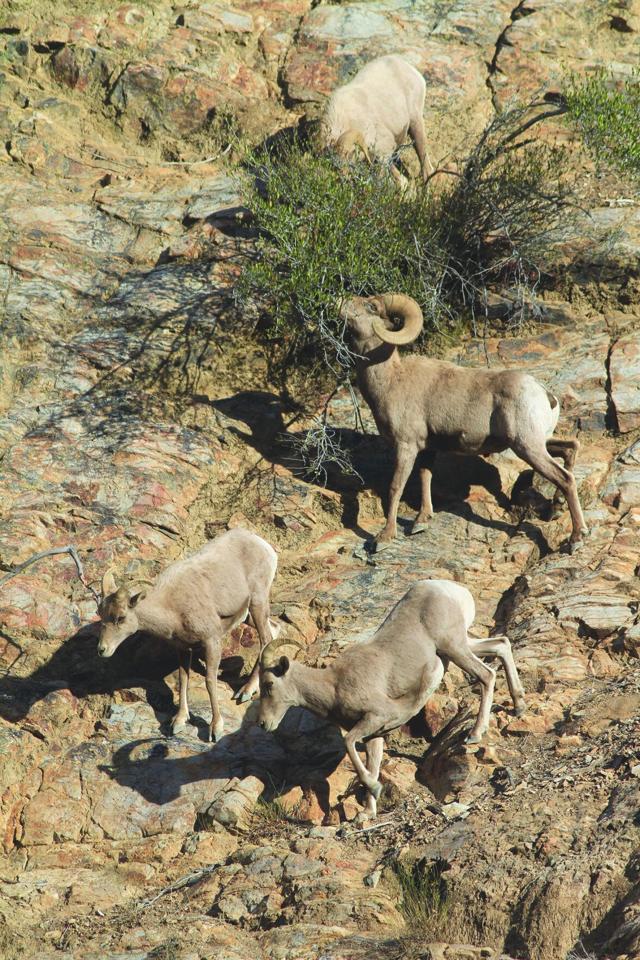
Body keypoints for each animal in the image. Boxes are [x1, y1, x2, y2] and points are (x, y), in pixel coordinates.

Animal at [97, 528, 278, 741]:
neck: (172, 607)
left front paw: (215, 729)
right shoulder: (183, 648)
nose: (102, 650)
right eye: (100, 613)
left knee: (266, 639)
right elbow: (184, 680)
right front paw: (178, 722)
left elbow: (210, 682)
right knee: (275, 630)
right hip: (247, 614)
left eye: (121, 617)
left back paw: (245, 692)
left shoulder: (212, 642)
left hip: (257, 603)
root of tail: (263, 545)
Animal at [257, 579, 525, 817]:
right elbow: (373, 766)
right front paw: (367, 813)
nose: (263, 724)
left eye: (269, 684)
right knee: (501, 644)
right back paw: (519, 705)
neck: (333, 685)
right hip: (463, 644)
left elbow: (349, 744)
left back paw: (475, 733)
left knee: (487, 675)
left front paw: (374, 791)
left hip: (454, 647)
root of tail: (453, 590)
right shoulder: (374, 735)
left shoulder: (376, 717)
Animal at [339, 292, 588, 551]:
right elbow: (425, 477)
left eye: (372, 306)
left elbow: (395, 488)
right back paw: (557, 509)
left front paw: (383, 538)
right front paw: (421, 521)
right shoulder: (426, 449)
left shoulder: (406, 446)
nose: (341, 303)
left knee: (566, 478)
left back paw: (577, 538)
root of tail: (545, 394)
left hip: (528, 448)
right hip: (536, 443)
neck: (390, 380)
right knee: (571, 449)